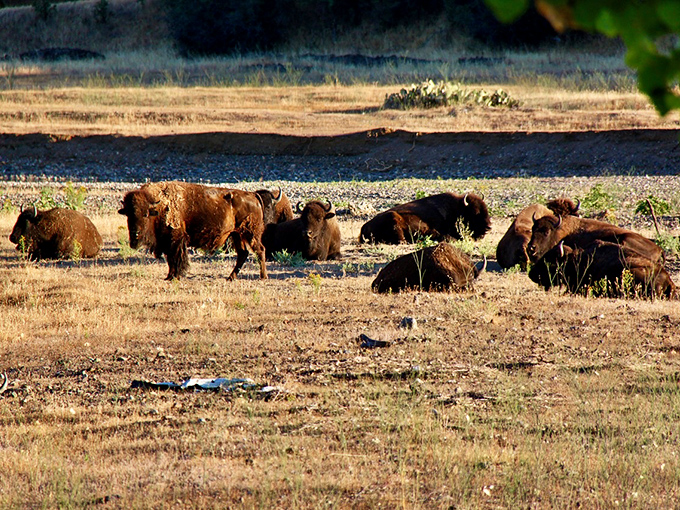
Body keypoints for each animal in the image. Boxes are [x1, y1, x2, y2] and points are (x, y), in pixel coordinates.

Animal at [118, 181, 267, 281]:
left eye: (145, 214)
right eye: (128, 215)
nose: (135, 234)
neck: (159, 206)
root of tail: (253, 195)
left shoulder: (175, 240)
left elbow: (176, 258)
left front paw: (174, 276)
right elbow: (170, 259)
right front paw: (169, 276)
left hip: (250, 233)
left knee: (260, 250)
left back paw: (263, 276)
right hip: (236, 234)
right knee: (243, 254)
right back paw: (231, 277)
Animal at [359, 192, 491, 245]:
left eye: (486, 210)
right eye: (475, 212)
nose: (488, 227)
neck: (455, 209)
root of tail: (364, 227)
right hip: (392, 217)